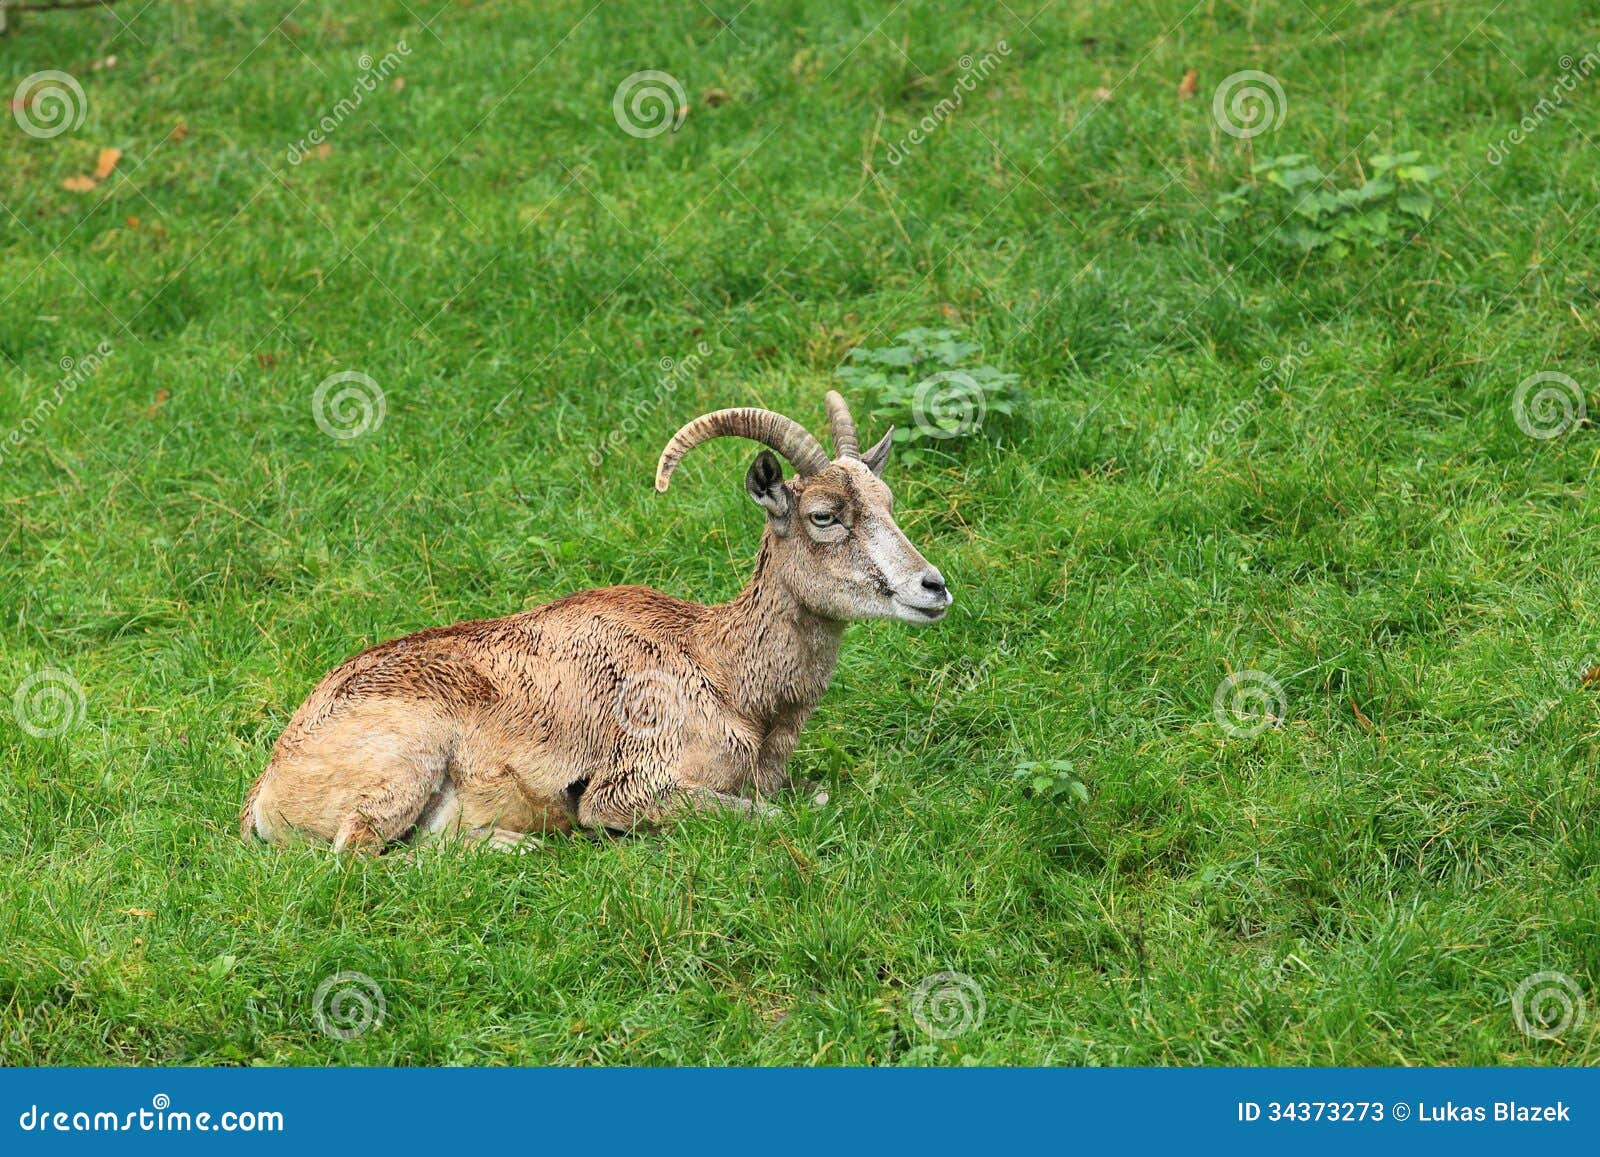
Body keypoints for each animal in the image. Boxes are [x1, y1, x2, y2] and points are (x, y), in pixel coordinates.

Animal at [240, 391, 952, 851]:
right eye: (824, 515)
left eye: (888, 501)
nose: (933, 587)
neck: (725, 674)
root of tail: (266, 791)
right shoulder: (631, 787)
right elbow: (759, 815)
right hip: (406, 762)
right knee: (358, 854)